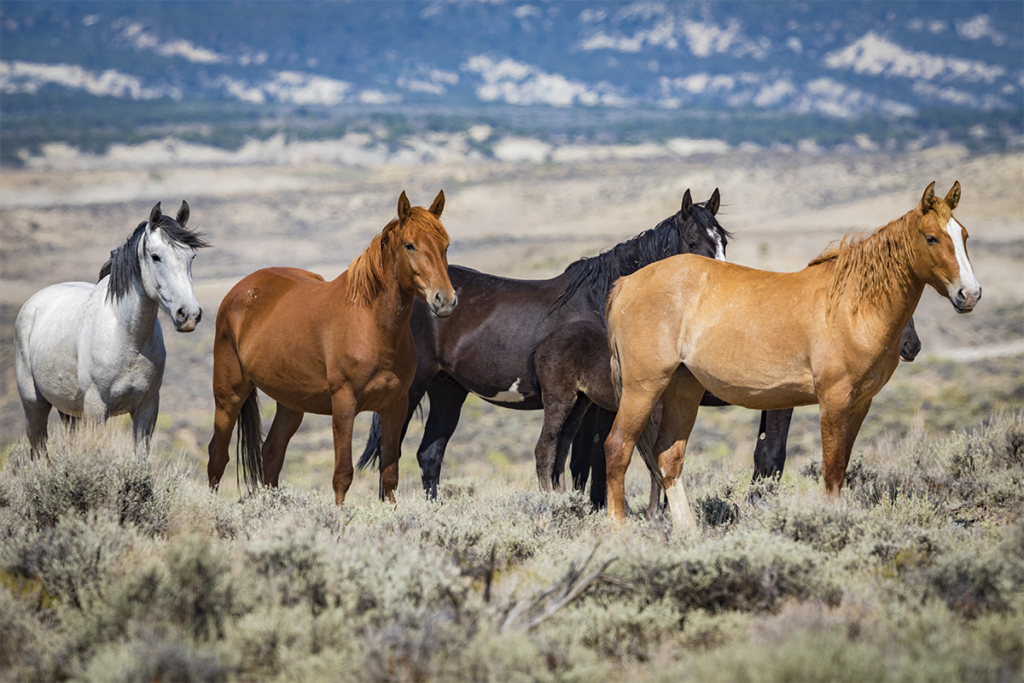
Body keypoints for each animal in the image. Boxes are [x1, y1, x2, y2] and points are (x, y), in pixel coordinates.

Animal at [15, 201, 206, 454]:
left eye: (192, 256)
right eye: (156, 257)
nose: (189, 315)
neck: (126, 338)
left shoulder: (147, 409)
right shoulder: (96, 409)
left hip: (69, 411)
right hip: (34, 405)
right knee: (38, 447)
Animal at [206, 191, 457, 505]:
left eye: (446, 246)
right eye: (409, 245)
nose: (444, 300)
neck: (369, 324)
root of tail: (240, 290)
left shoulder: (395, 406)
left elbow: (389, 476)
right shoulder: (344, 405)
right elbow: (343, 474)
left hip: (290, 404)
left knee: (271, 454)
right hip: (229, 396)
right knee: (217, 455)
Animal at [355, 189, 793, 502]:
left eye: (723, 242)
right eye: (691, 239)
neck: (606, 300)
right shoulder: (599, 401)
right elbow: (589, 461)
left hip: (448, 390)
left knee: (430, 455)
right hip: (415, 387)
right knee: (394, 449)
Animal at [604, 181, 980, 529]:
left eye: (964, 235)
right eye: (931, 238)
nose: (970, 294)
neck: (849, 305)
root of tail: (626, 283)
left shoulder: (860, 403)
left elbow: (840, 467)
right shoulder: (833, 399)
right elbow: (831, 471)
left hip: (683, 389)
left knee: (668, 456)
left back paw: (688, 535)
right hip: (643, 388)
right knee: (618, 448)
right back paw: (619, 533)